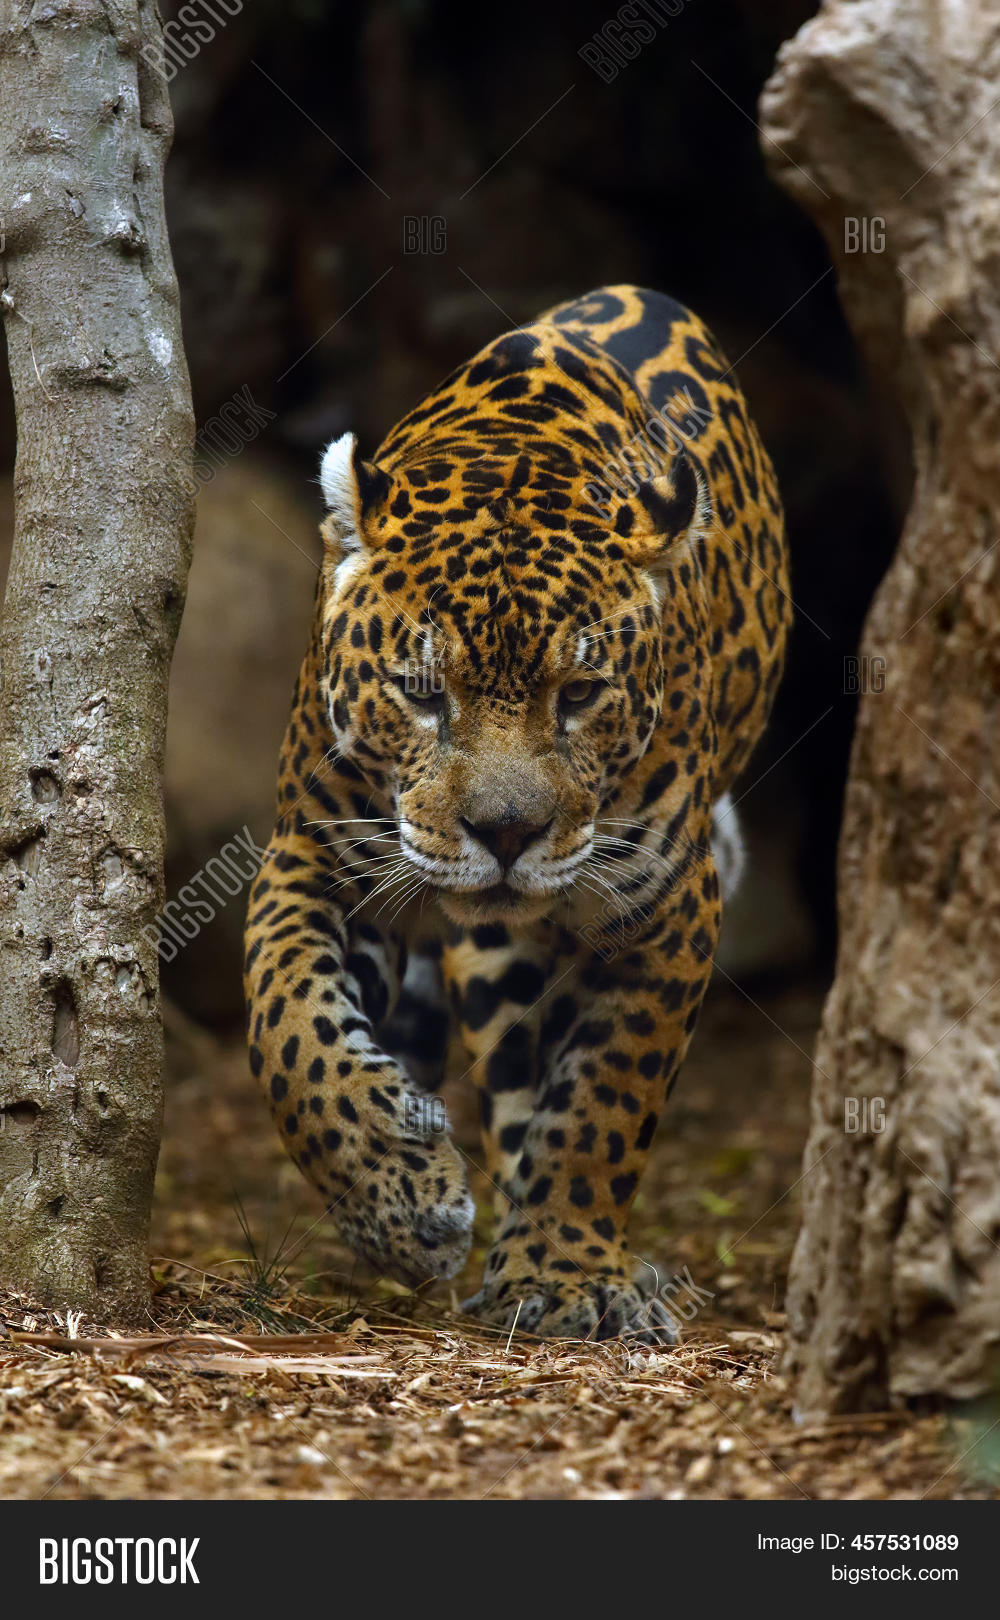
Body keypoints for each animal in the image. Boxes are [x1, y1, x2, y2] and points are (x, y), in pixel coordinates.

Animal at [243, 284, 790, 1343]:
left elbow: (605, 1101)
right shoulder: (311, 854)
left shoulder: (667, 907)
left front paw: (568, 1273)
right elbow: (289, 1025)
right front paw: (398, 1200)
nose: (505, 835)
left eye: (579, 694)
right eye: (422, 693)